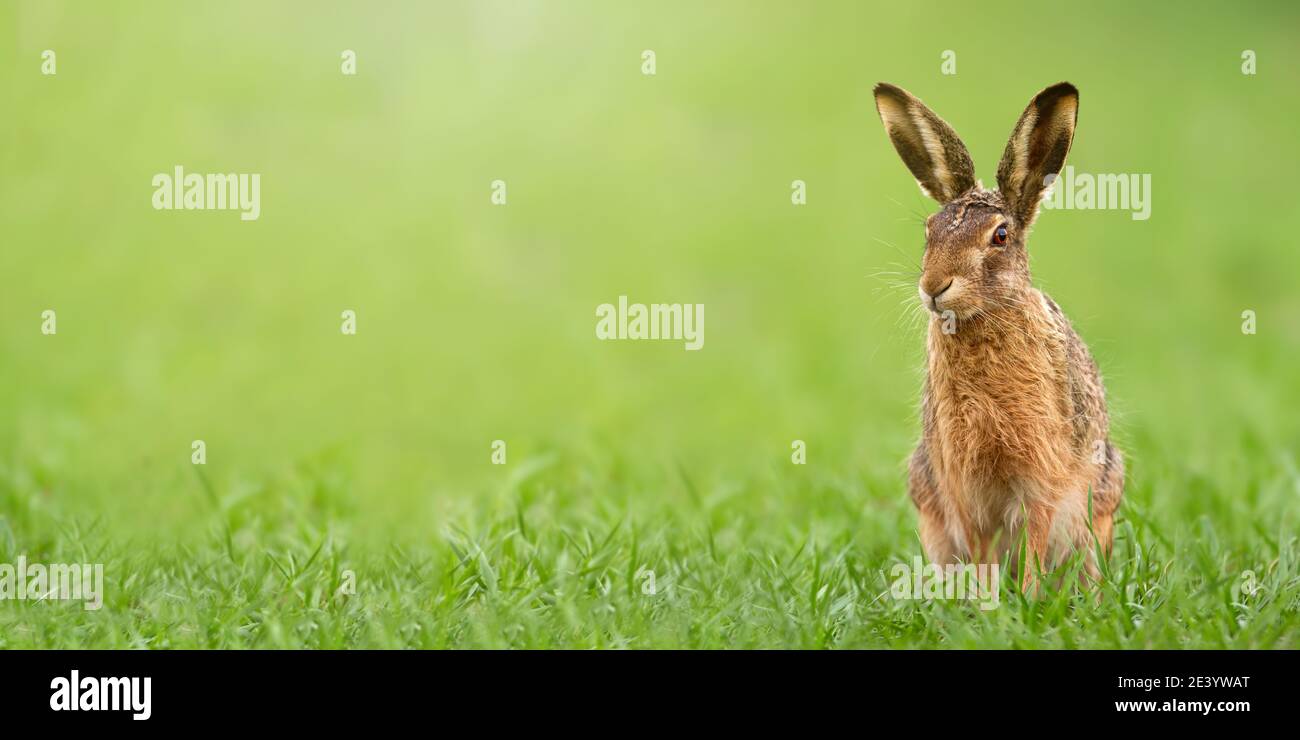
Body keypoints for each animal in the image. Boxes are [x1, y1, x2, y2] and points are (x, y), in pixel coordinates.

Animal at [872, 81, 1123, 591]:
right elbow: (979, 546)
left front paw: (1025, 596)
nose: (934, 287)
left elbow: (1035, 538)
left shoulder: (1041, 474)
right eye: (929, 231)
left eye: (1001, 236)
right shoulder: (960, 480)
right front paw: (988, 601)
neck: (983, 318)